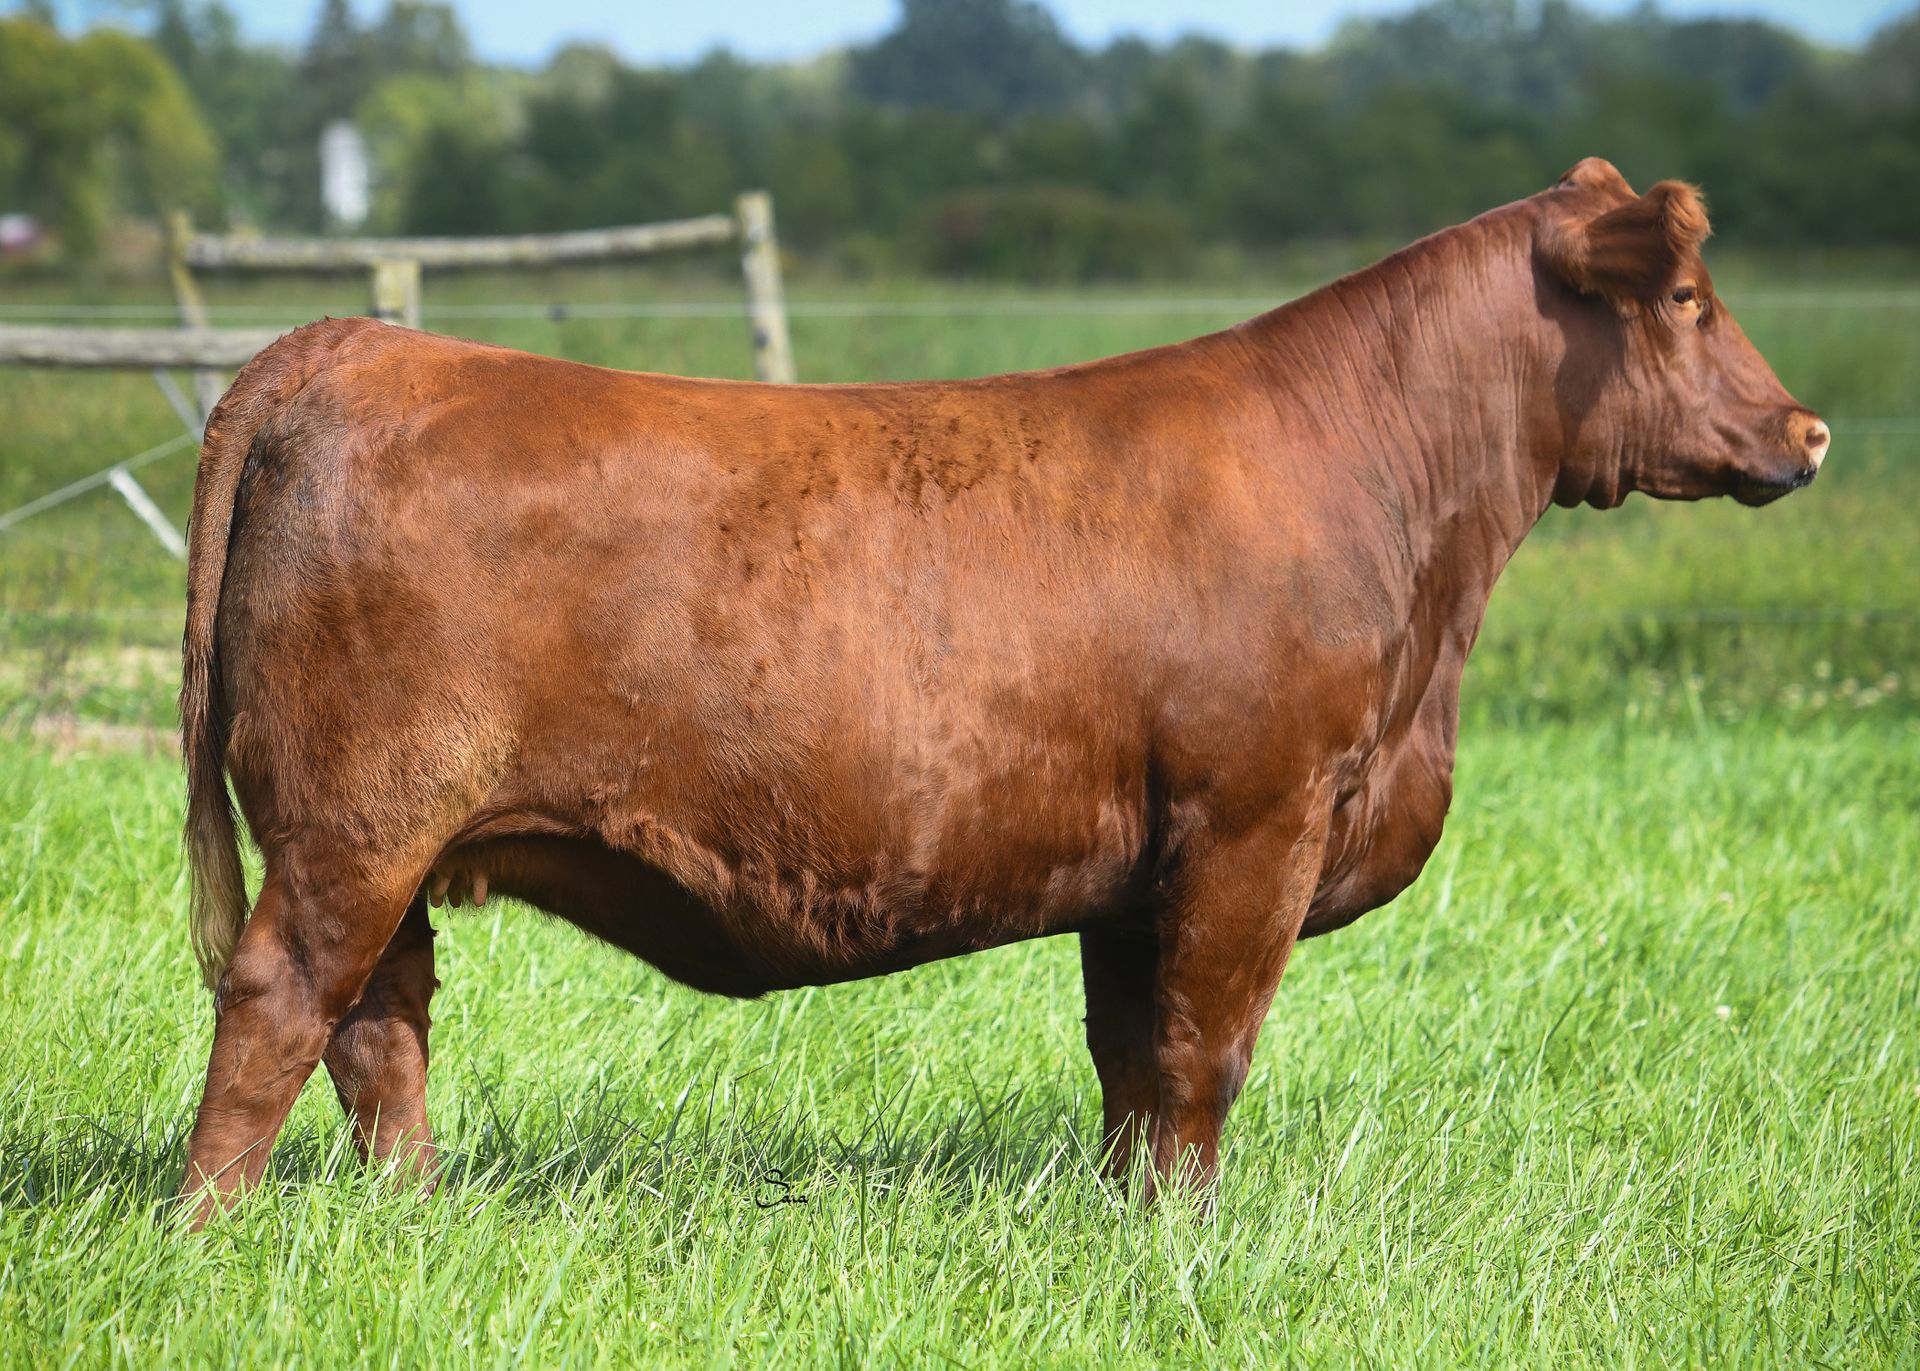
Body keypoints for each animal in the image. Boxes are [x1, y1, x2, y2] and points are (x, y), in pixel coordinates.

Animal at [175, 158, 1828, 1225]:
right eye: (1689, 295)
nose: (1806, 431)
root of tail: (354, 344)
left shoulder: (1138, 869)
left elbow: (1131, 1061)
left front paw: (1127, 1226)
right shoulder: (1257, 819)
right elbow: (1204, 1050)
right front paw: (1185, 1245)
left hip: (384, 844)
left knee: (379, 1025)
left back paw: (414, 1217)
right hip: (352, 825)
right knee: (278, 1002)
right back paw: (210, 1230)